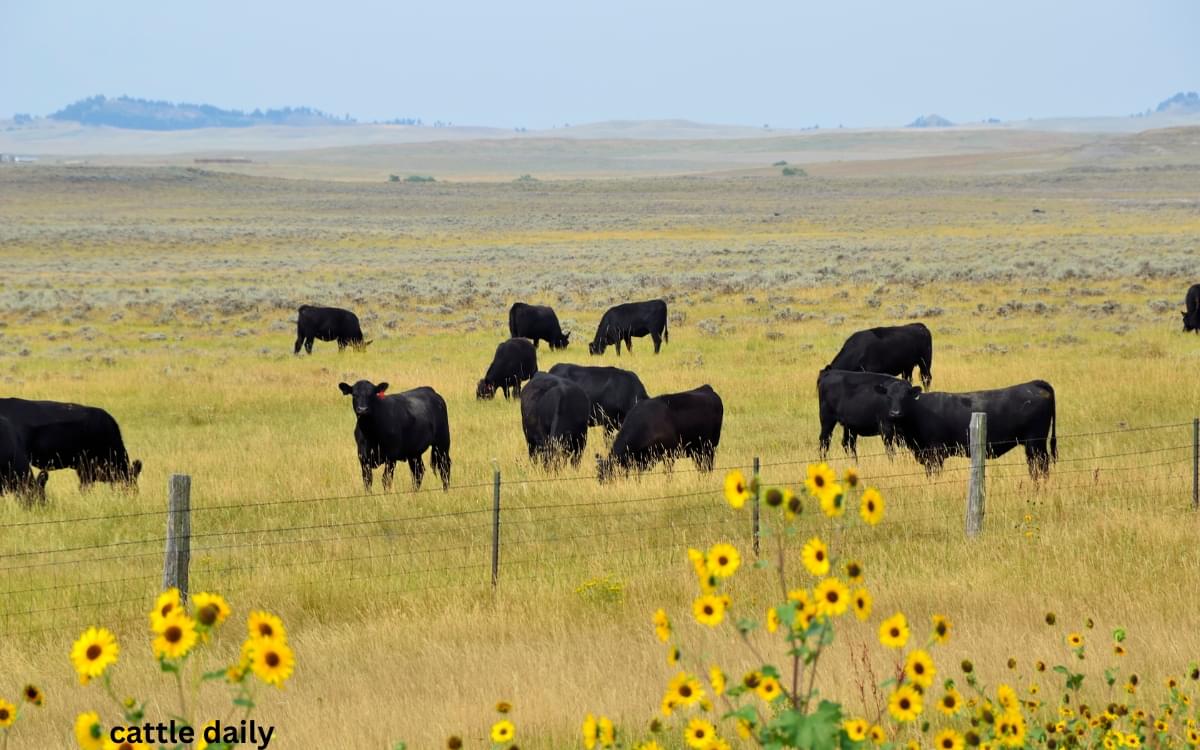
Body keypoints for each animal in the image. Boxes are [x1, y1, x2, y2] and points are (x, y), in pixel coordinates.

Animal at [877, 379, 1057, 479]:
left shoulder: (936, 453)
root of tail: (1035, 383)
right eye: (888, 396)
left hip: (1034, 443)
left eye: (905, 396)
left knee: (1039, 465)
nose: (895, 413)